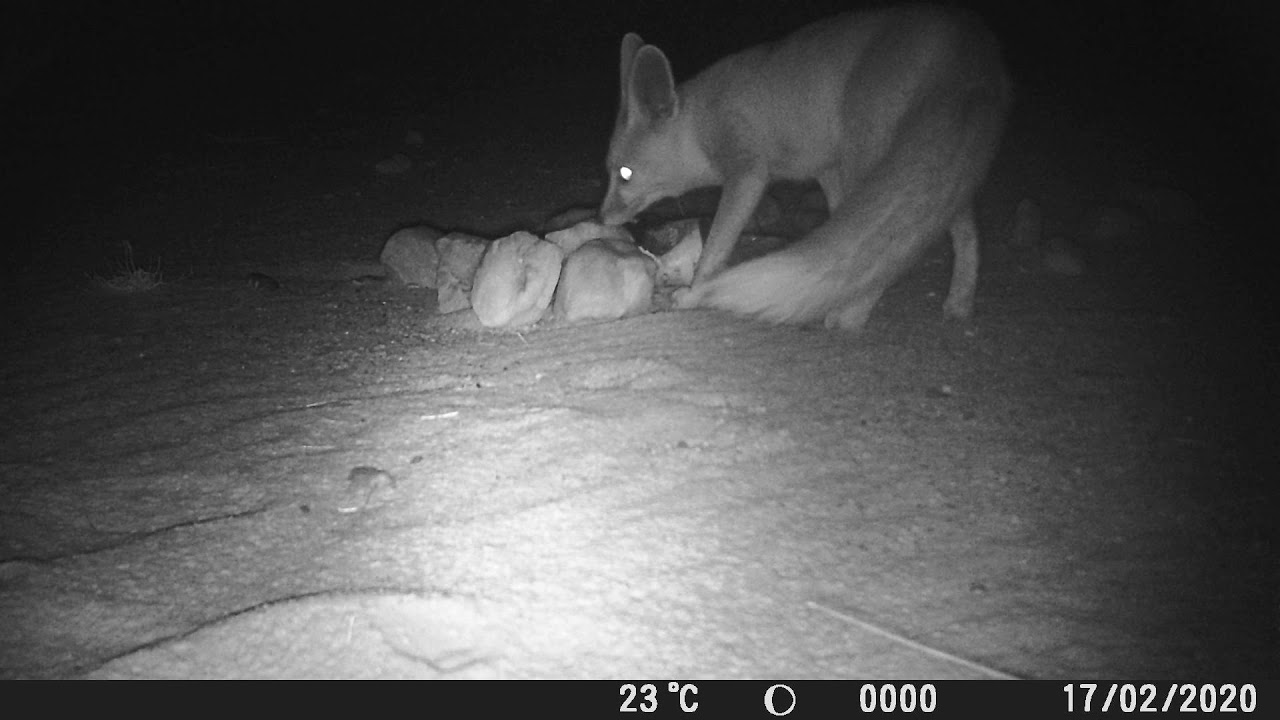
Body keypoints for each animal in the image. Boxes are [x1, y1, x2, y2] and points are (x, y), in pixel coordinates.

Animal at [599, 4, 1011, 331]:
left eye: (625, 174)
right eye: (609, 172)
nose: (601, 217)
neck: (702, 122)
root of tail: (973, 39)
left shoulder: (749, 173)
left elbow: (716, 247)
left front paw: (692, 295)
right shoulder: (826, 172)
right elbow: (845, 249)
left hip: (873, 158)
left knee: (894, 249)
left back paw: (852, 317)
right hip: (935, 172)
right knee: (961, 234)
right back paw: (959, 305)